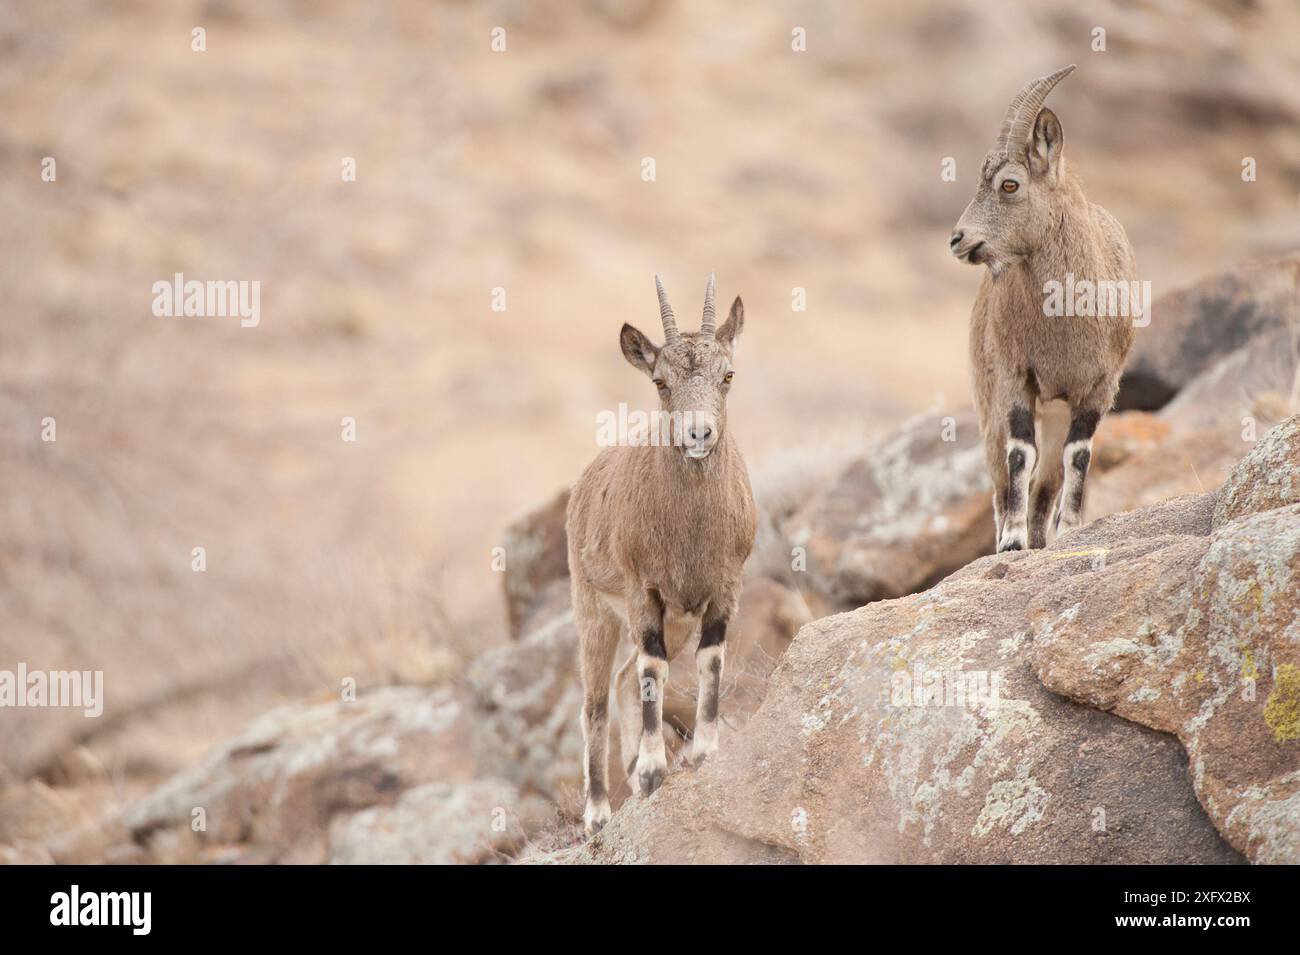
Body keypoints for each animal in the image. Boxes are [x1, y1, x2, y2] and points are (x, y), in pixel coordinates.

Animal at [566, 274, 757, 835]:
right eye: (659, 381)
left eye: (727, 374)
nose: (698, 433)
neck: (689, 533)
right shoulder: (642, 591)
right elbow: (653, 672)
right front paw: (653, 770)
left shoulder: (723, 588)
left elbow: (709, 661)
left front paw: (704, 753)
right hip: (594, 608)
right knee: (597, 700)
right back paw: (598, 812)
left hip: (674, 619)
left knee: (624, 677)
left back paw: (628, 772)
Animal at [950, 65, 1137, 551]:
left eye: (1009, 183)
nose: (957, 238)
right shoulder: (1017, 376)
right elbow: (1019, 455)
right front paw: (1012, 542)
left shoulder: (1098, 387)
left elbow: (1078, 457)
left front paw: (1070, 529)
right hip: (991, 400)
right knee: (1001, 477)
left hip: (1056, 411)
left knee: (1047, 481)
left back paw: (1040, 539)